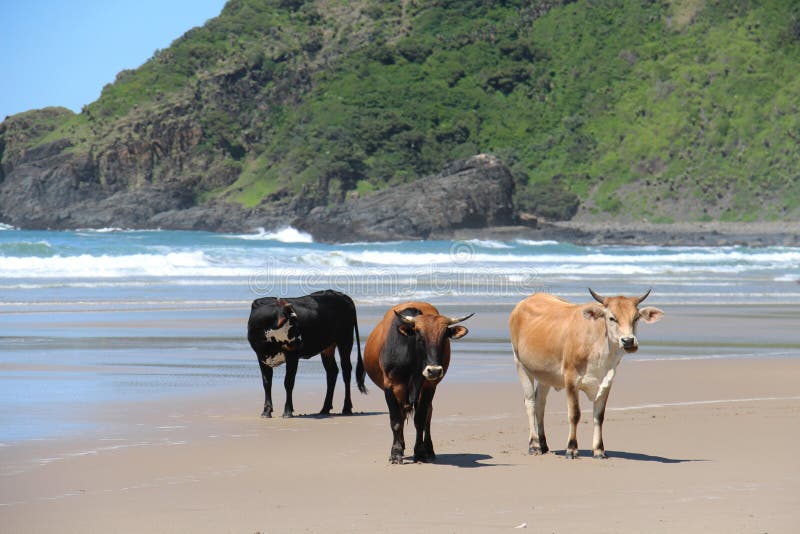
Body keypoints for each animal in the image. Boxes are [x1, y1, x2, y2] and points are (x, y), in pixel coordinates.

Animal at [247, 290, 366, 418]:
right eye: (292, 324)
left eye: (297, 322)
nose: (301, 342)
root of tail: (341, 295)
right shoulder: (261, 356)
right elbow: (267, 383)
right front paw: (266, 411)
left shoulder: (292, 355)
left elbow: (288, 382)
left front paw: (288, 411)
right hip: (327, 347)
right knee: (332, 372)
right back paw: (325, 408)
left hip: (345, 340)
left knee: (346, 371)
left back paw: (346, 407)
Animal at [364, 301, 473, 464]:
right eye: (420, 337)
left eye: (444, 337)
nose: (434, 371)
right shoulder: (389, 386)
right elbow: (396, 421)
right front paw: (396, 452)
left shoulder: (428, 386)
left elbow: (420, 420)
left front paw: (420, 452)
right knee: (402, 415)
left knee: (428, 414)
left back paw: (429, 449)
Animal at [509, 289, 664, 459]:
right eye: (612, 318)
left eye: (636, 318)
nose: (628, 341)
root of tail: (524, 302)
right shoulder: (571, 379)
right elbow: (574, 414)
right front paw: (571, 449)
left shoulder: (607, 381)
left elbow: (599, 416)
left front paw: (599, 449)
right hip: (520, 363)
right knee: (530, 403)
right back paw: (534, 445)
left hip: (545, 374)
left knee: (540, 403)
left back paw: (543, 444)